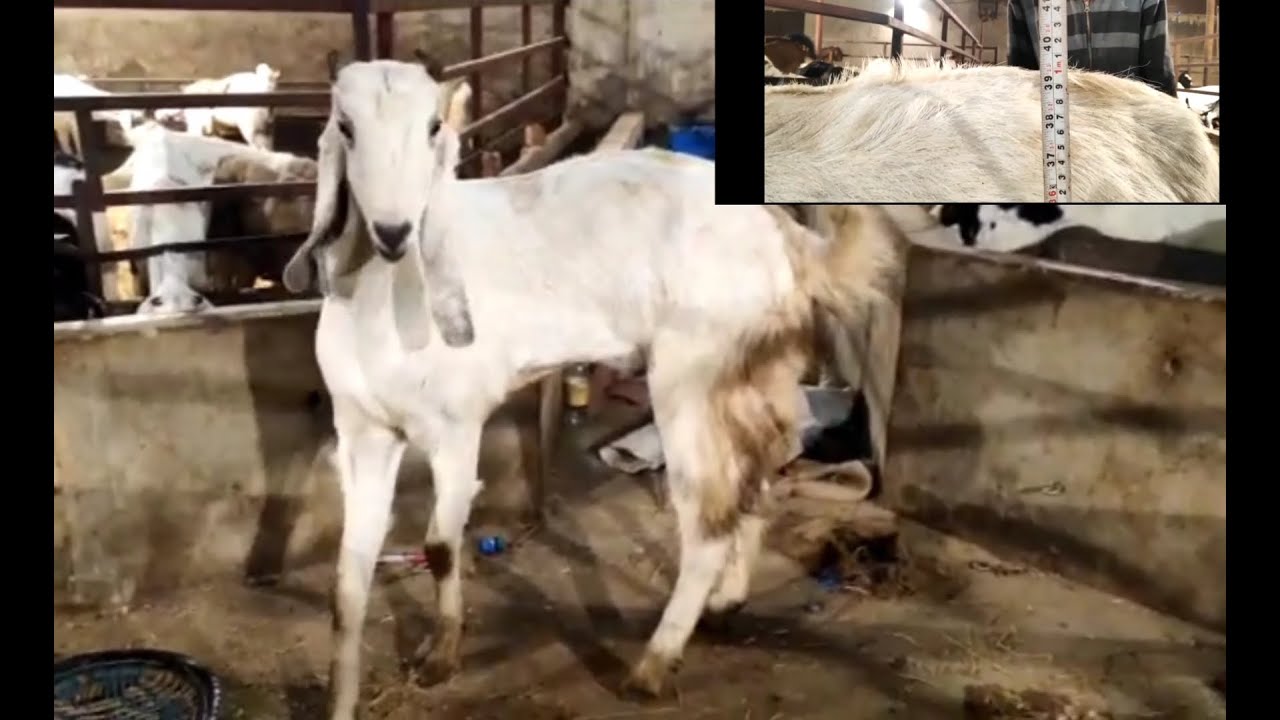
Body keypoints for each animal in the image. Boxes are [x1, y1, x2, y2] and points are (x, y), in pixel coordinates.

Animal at [278, 56, 904, 720]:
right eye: (345, 126)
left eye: (432, 127)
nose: (394, 231)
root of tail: (791, 238)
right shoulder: (363, 432)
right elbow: (346, 586)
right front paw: (341, 699)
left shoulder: (455, 425)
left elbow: (441, 545)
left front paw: (440, 656)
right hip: (753, 371)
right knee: (758, 473)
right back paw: (726, 601)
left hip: (690, 374)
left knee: (708, 519)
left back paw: (653, 664)